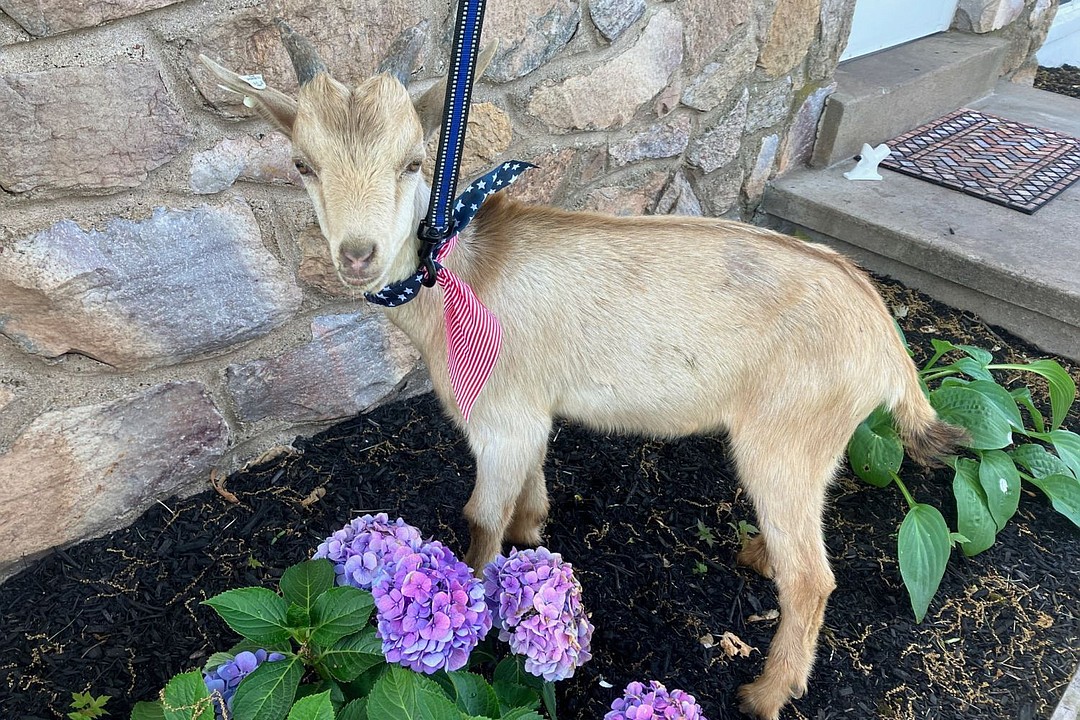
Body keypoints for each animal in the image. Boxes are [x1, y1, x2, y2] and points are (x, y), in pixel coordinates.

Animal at [199, 23, 966, 720]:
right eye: (302, 163)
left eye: (413, 161)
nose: (358, 254)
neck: (457, 273)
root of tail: (888, 345)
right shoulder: (529, 408)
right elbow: (529, 482)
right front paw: (533, 531)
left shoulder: (498, 415)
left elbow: (479, 517)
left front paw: (481, 618)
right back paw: (758, 558)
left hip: (786, 437)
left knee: (813, 578)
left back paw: (765, 693)